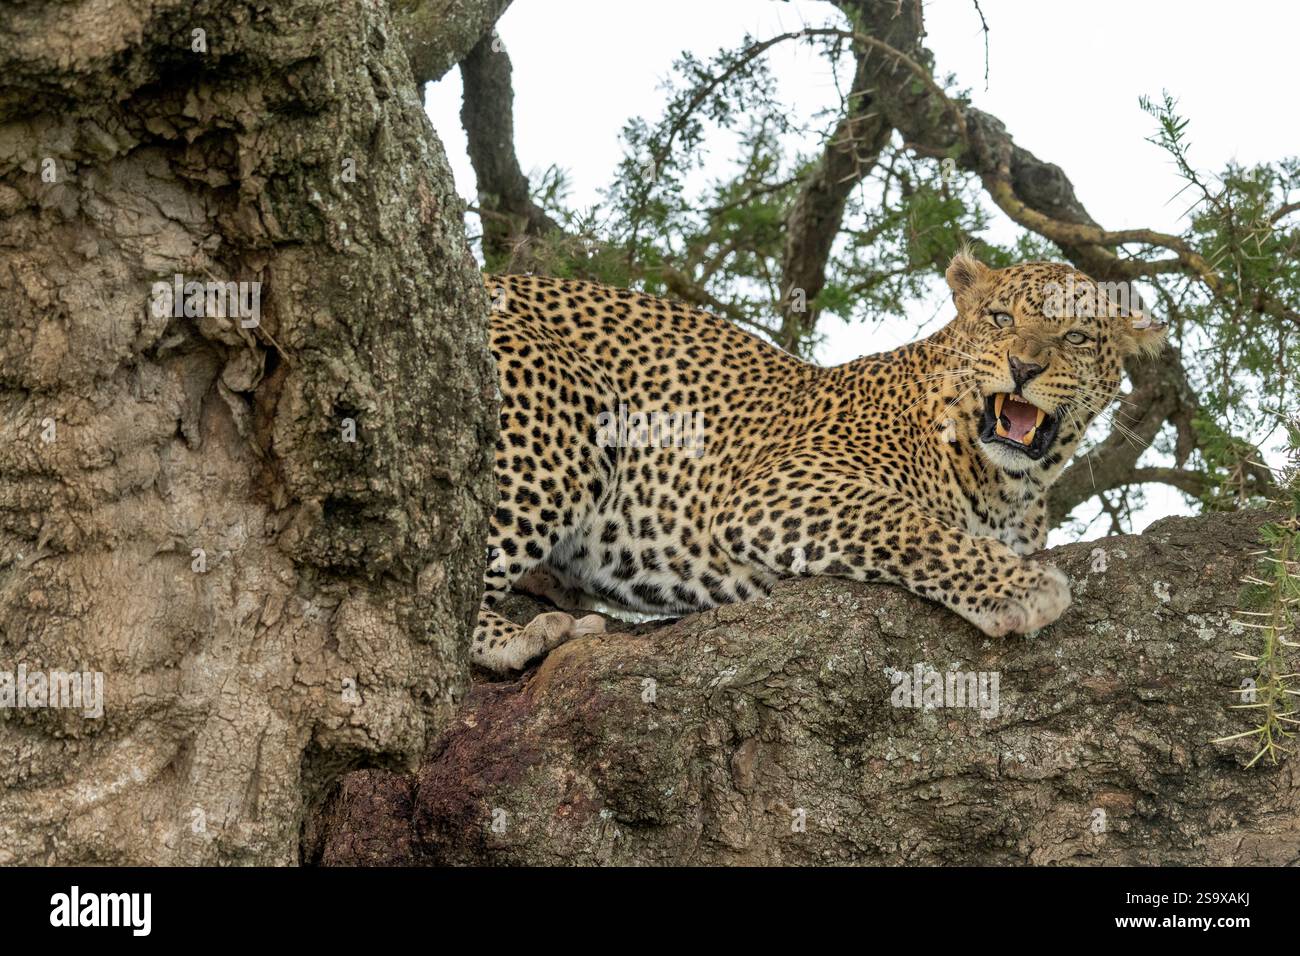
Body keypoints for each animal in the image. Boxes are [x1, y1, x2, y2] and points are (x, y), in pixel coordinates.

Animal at [473, 251, 1165, 672]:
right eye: (1001, 318)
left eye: (1076, 337)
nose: (1023, 366)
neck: (1008, 484)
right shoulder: (777, 490)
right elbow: (913, 525)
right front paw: (1022, 589)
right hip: (559, 407)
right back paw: (528, 635)